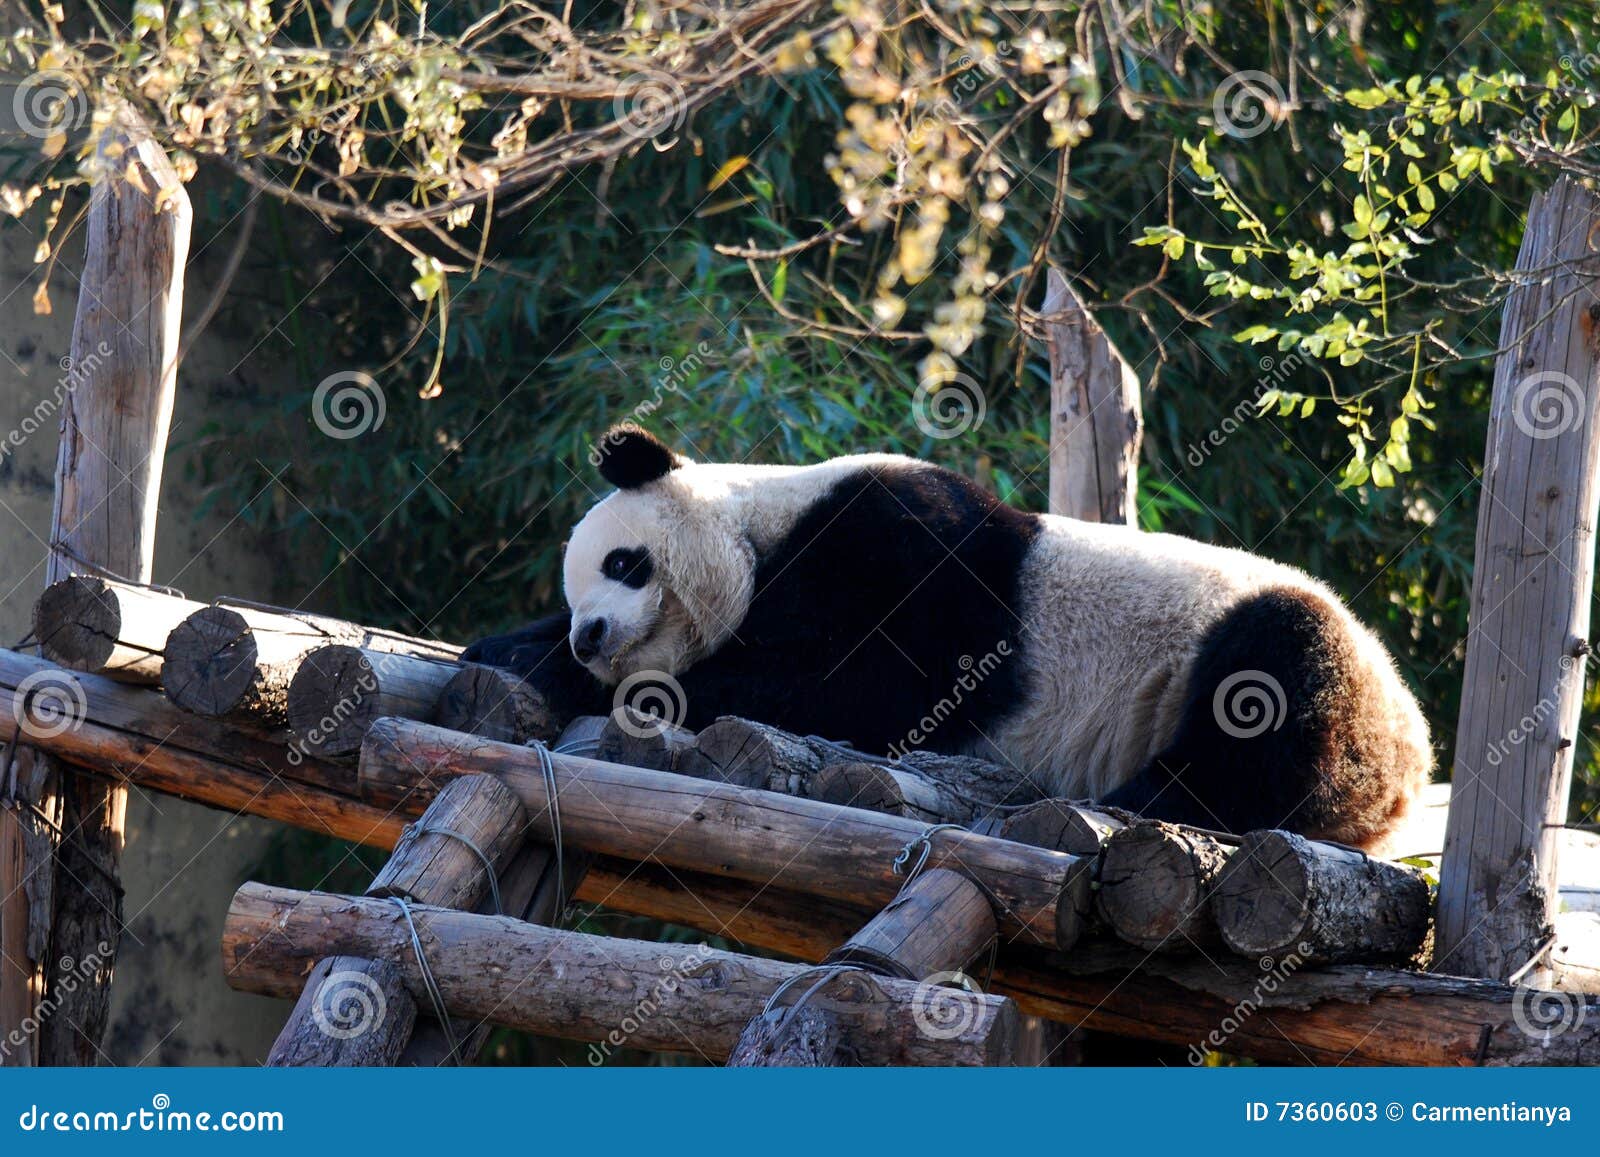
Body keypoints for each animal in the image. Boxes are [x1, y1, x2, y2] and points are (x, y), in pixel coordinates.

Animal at [464, 423, 1432, 850]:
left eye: (623, 562)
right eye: (574, 589)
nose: (590, 637)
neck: (761, 524)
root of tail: (1410, 764)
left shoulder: (903, 543)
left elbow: (879, 683)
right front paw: (510, 650)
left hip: (1287, 661)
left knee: (1271, 691)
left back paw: (1144, 792)